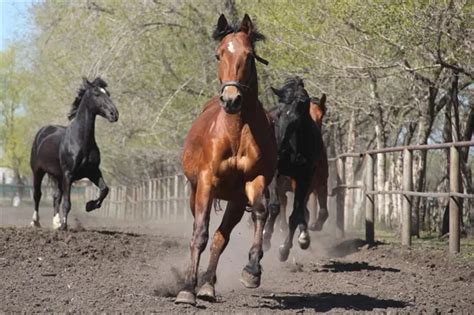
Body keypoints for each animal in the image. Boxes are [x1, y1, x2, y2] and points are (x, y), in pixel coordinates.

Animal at [29, 78, 118, 231]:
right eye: (97, 94)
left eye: (108, 93)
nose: (114, 114)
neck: (79, 141)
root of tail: (43, 131)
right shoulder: (68, 174)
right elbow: (67, 202)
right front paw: (64, 226)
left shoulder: (93, 172)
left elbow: (104, 189)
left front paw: (89, 206)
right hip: (38, 171)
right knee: (37, 194)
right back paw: (36, 222)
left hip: (56, 175)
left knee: (56, 196)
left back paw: (56, 222)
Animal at [176, 14, 276, 306]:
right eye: (219, 54)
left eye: (249, 56)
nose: (231, 99)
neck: (236, 132)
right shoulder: (206, 183)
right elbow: (199, 233)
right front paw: (186, 290)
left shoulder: (254, 181)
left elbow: (261, 213)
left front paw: (252, 270)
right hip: (195, 193)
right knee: (202, 232)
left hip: (235, 201)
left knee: (222, 237)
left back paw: (208, 285)